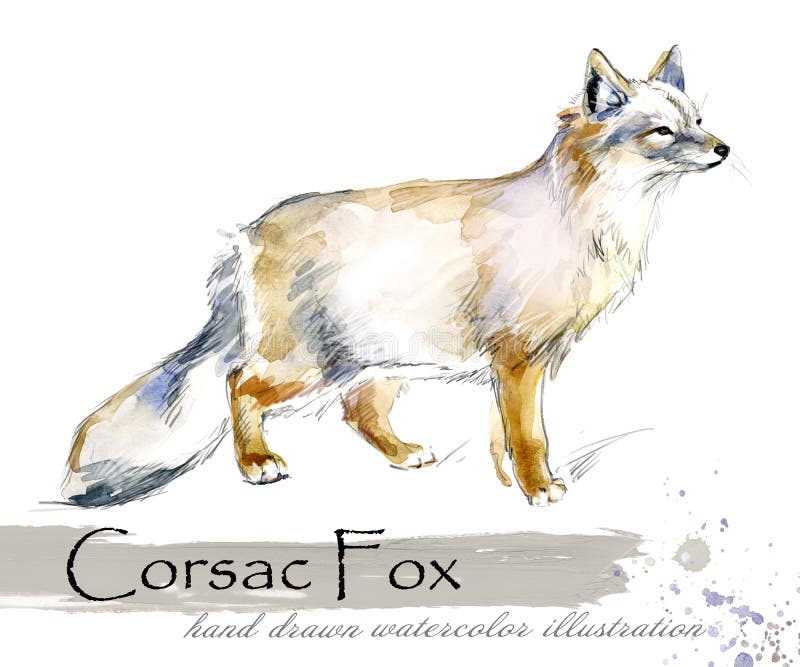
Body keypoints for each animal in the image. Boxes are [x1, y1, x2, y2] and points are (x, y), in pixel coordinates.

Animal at [62, 46, 729, 507]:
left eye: (698, 120)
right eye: (663, 131)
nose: (723, 148)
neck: (584, 220)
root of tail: (249, 233)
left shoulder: (520, 362)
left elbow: (509, 436)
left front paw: (511, 483)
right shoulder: (519, 358)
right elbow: (530, 436)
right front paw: (538, 490)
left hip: (377, 360)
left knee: (355, 413)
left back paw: (403, 455)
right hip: (307, 362)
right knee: (238, 383)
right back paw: (256, 462)